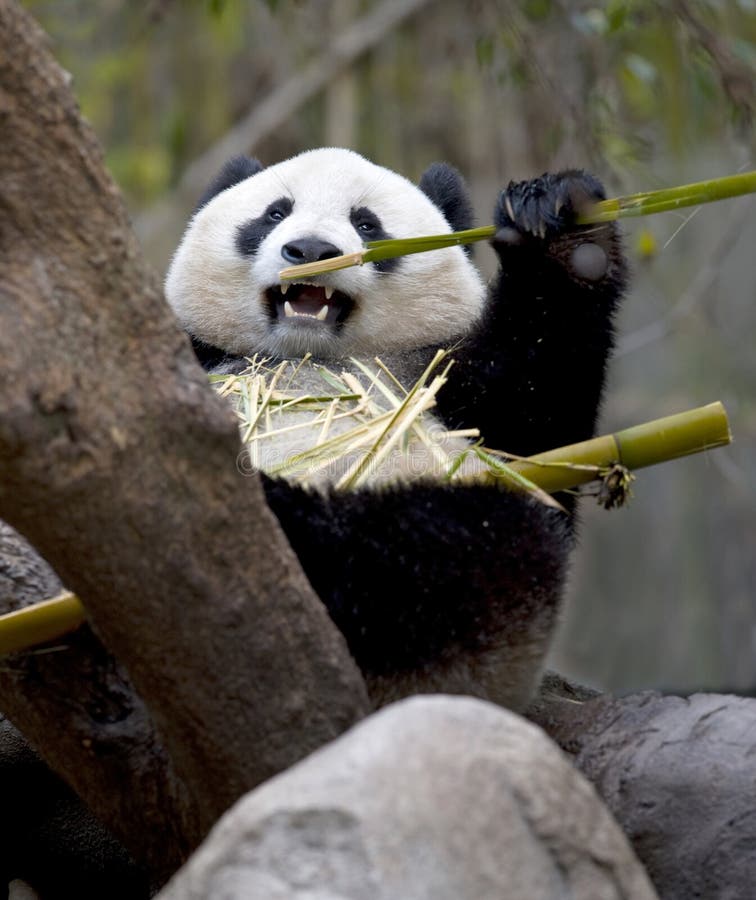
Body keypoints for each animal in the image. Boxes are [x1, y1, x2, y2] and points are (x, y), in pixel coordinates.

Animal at [166, 147, 626, 712]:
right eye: (274, 213)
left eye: (367, 223)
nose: (312, 250)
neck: (309, 360)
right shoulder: (201, 354)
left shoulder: (444, 388)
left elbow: (540, 431)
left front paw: (554, 215)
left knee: (428, 553)